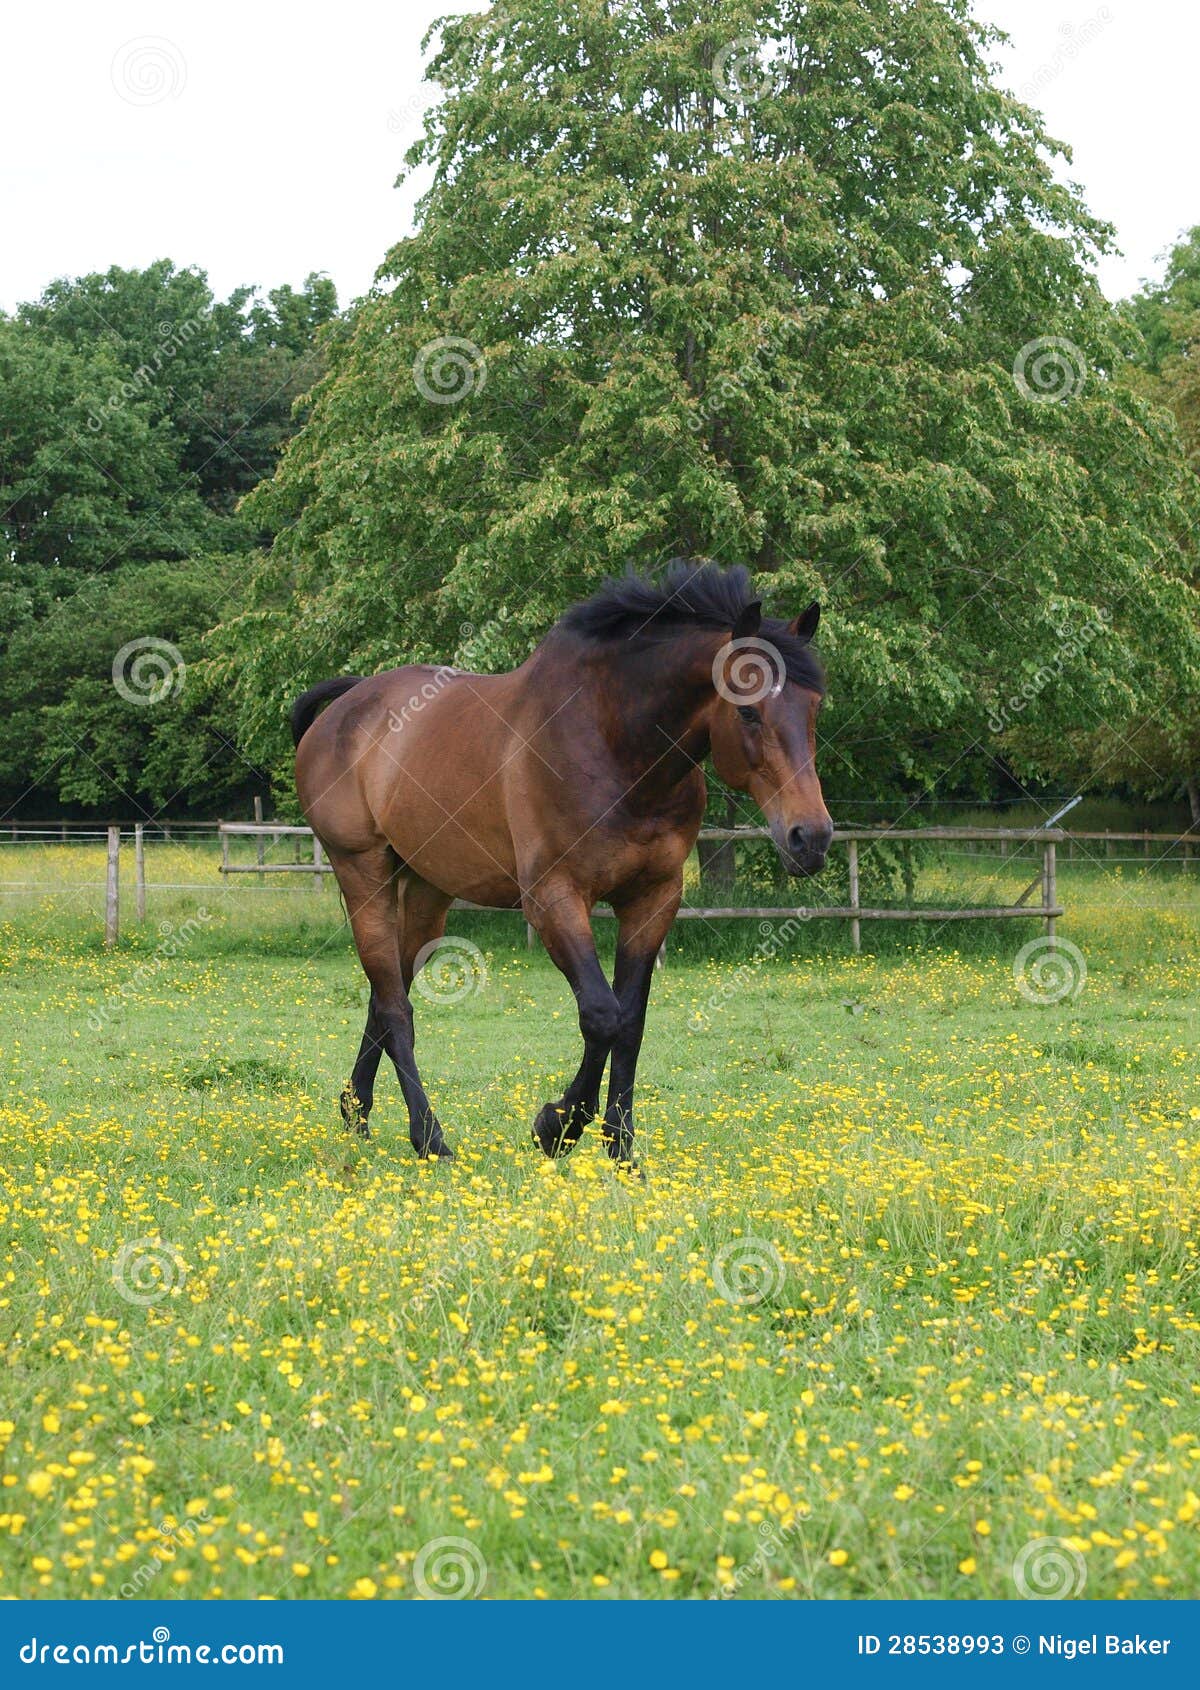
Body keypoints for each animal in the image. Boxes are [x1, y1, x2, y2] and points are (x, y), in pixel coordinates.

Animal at [290, 560, 832, 1165]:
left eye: (813, 707)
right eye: (749, 711)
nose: (810, 837)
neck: (614, 743)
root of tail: (348, 704)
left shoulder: (654, 897)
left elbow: (631, 1021)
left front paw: (621, 1151)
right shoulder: (555, 898)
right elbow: (601, 1015)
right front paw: (557, 1126)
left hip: (427, 889)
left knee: (386, 995)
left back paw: (356, 1114)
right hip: (362, 872)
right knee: (395, 1009)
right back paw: (430, 1138)